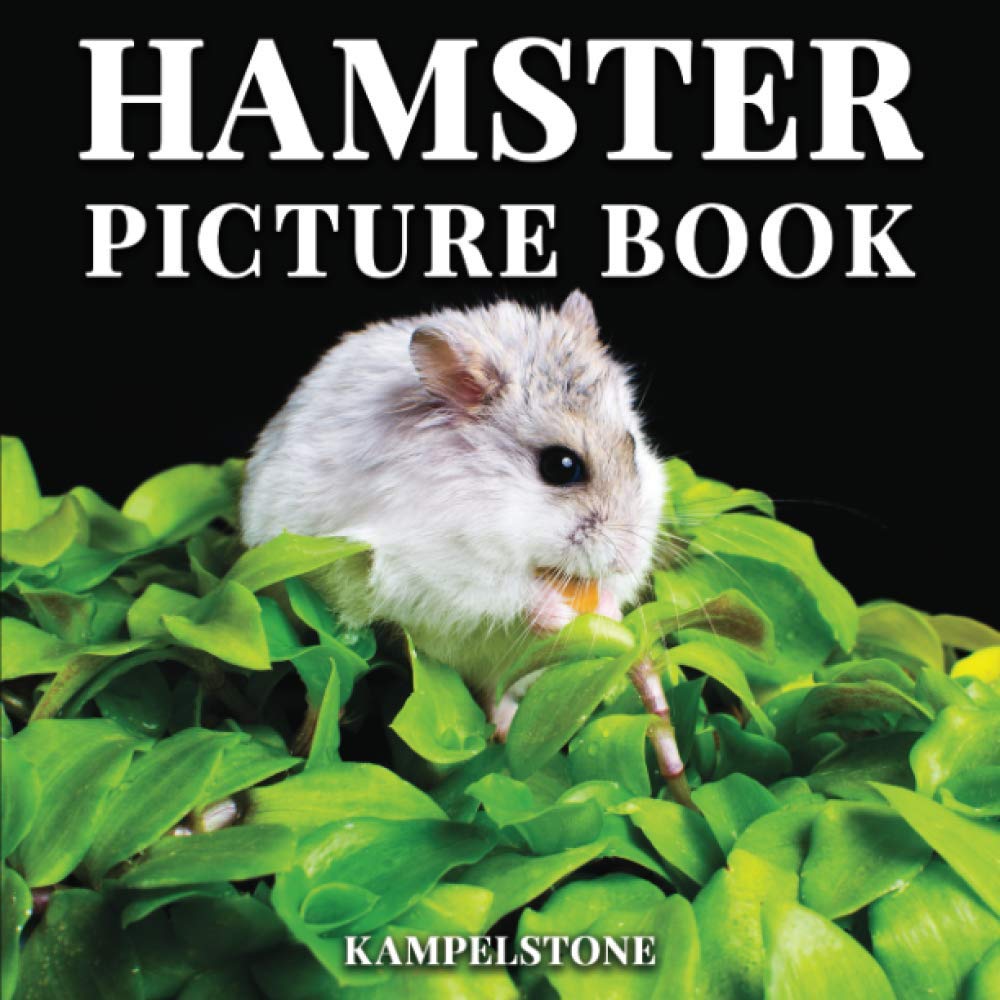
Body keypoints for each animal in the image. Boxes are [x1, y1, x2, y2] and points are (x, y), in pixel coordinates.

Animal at [241, 291, 665, 723]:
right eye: (561, 466)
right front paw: (557, 613)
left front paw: (609, 611)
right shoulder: (434, 566)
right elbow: (506, 591)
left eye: (632, 444)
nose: (629, 560)